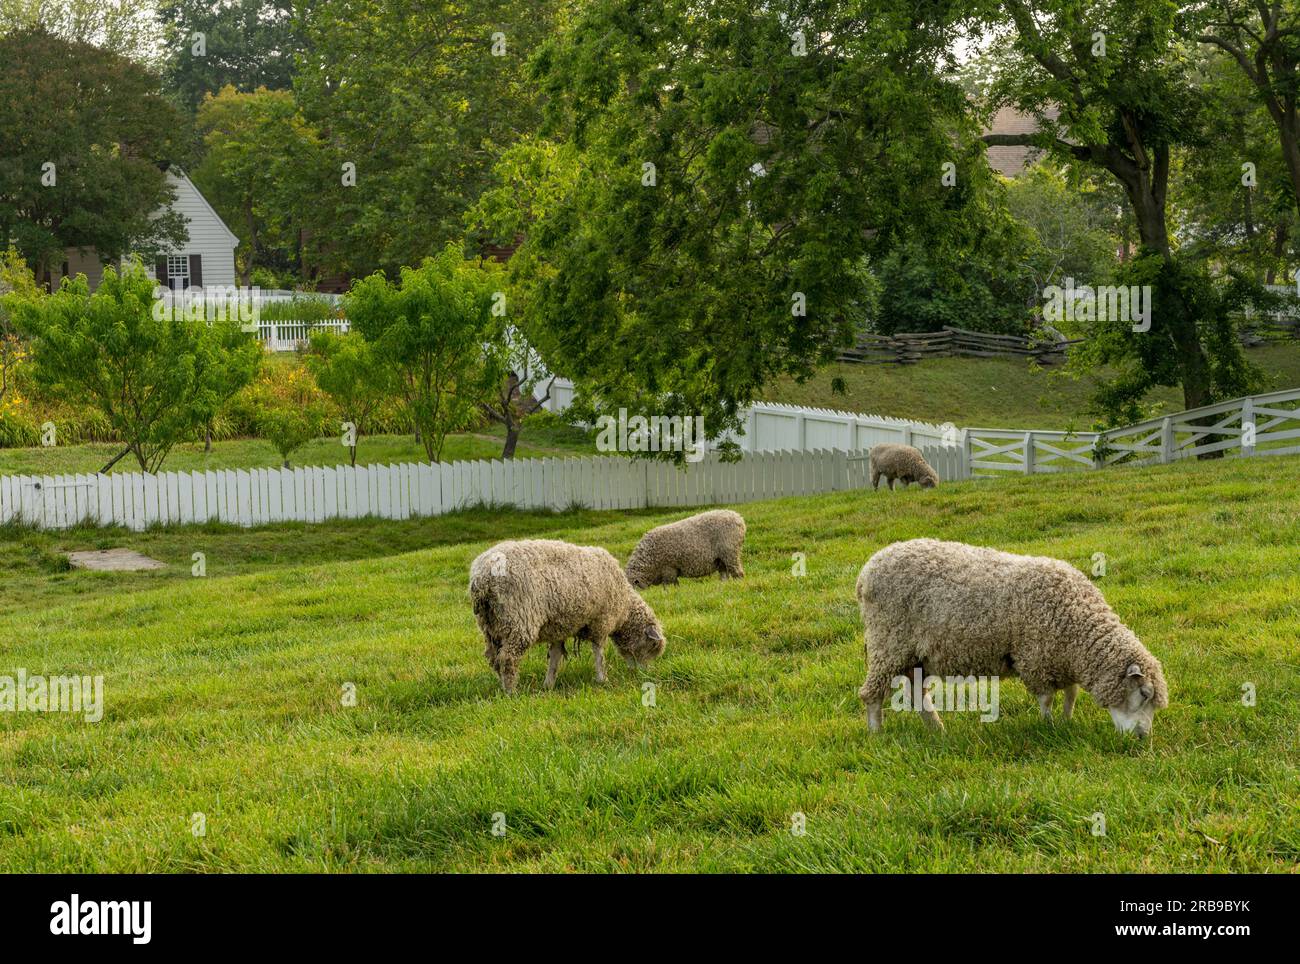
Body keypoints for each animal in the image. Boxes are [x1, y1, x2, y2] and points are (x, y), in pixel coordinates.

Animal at [469, 539, 665, 694]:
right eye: (651, 647)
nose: (641, 674)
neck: (624, 609)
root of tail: (482, 577)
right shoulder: (601, 621)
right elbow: (599, 653)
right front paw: (603, 679)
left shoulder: (559, 629)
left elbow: (555, 657)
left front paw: (548, 685)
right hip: (519, 620)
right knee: (508, 659)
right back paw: (511, 692)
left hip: (491, 626)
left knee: (494, 659)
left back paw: (502, 687)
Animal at [855, 538, 1169, 738]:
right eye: (1144, 694)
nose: (1143, 737)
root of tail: (868, 569)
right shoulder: (1035, 658)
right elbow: (1047, 699)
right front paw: (1049, 727)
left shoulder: (1061, 659)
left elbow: (1071, 694)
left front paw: (1066, 721)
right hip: (888, 641)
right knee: (872, 694)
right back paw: (876, 734)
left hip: (915, 656)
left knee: (918, 697)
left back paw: (938, 731)